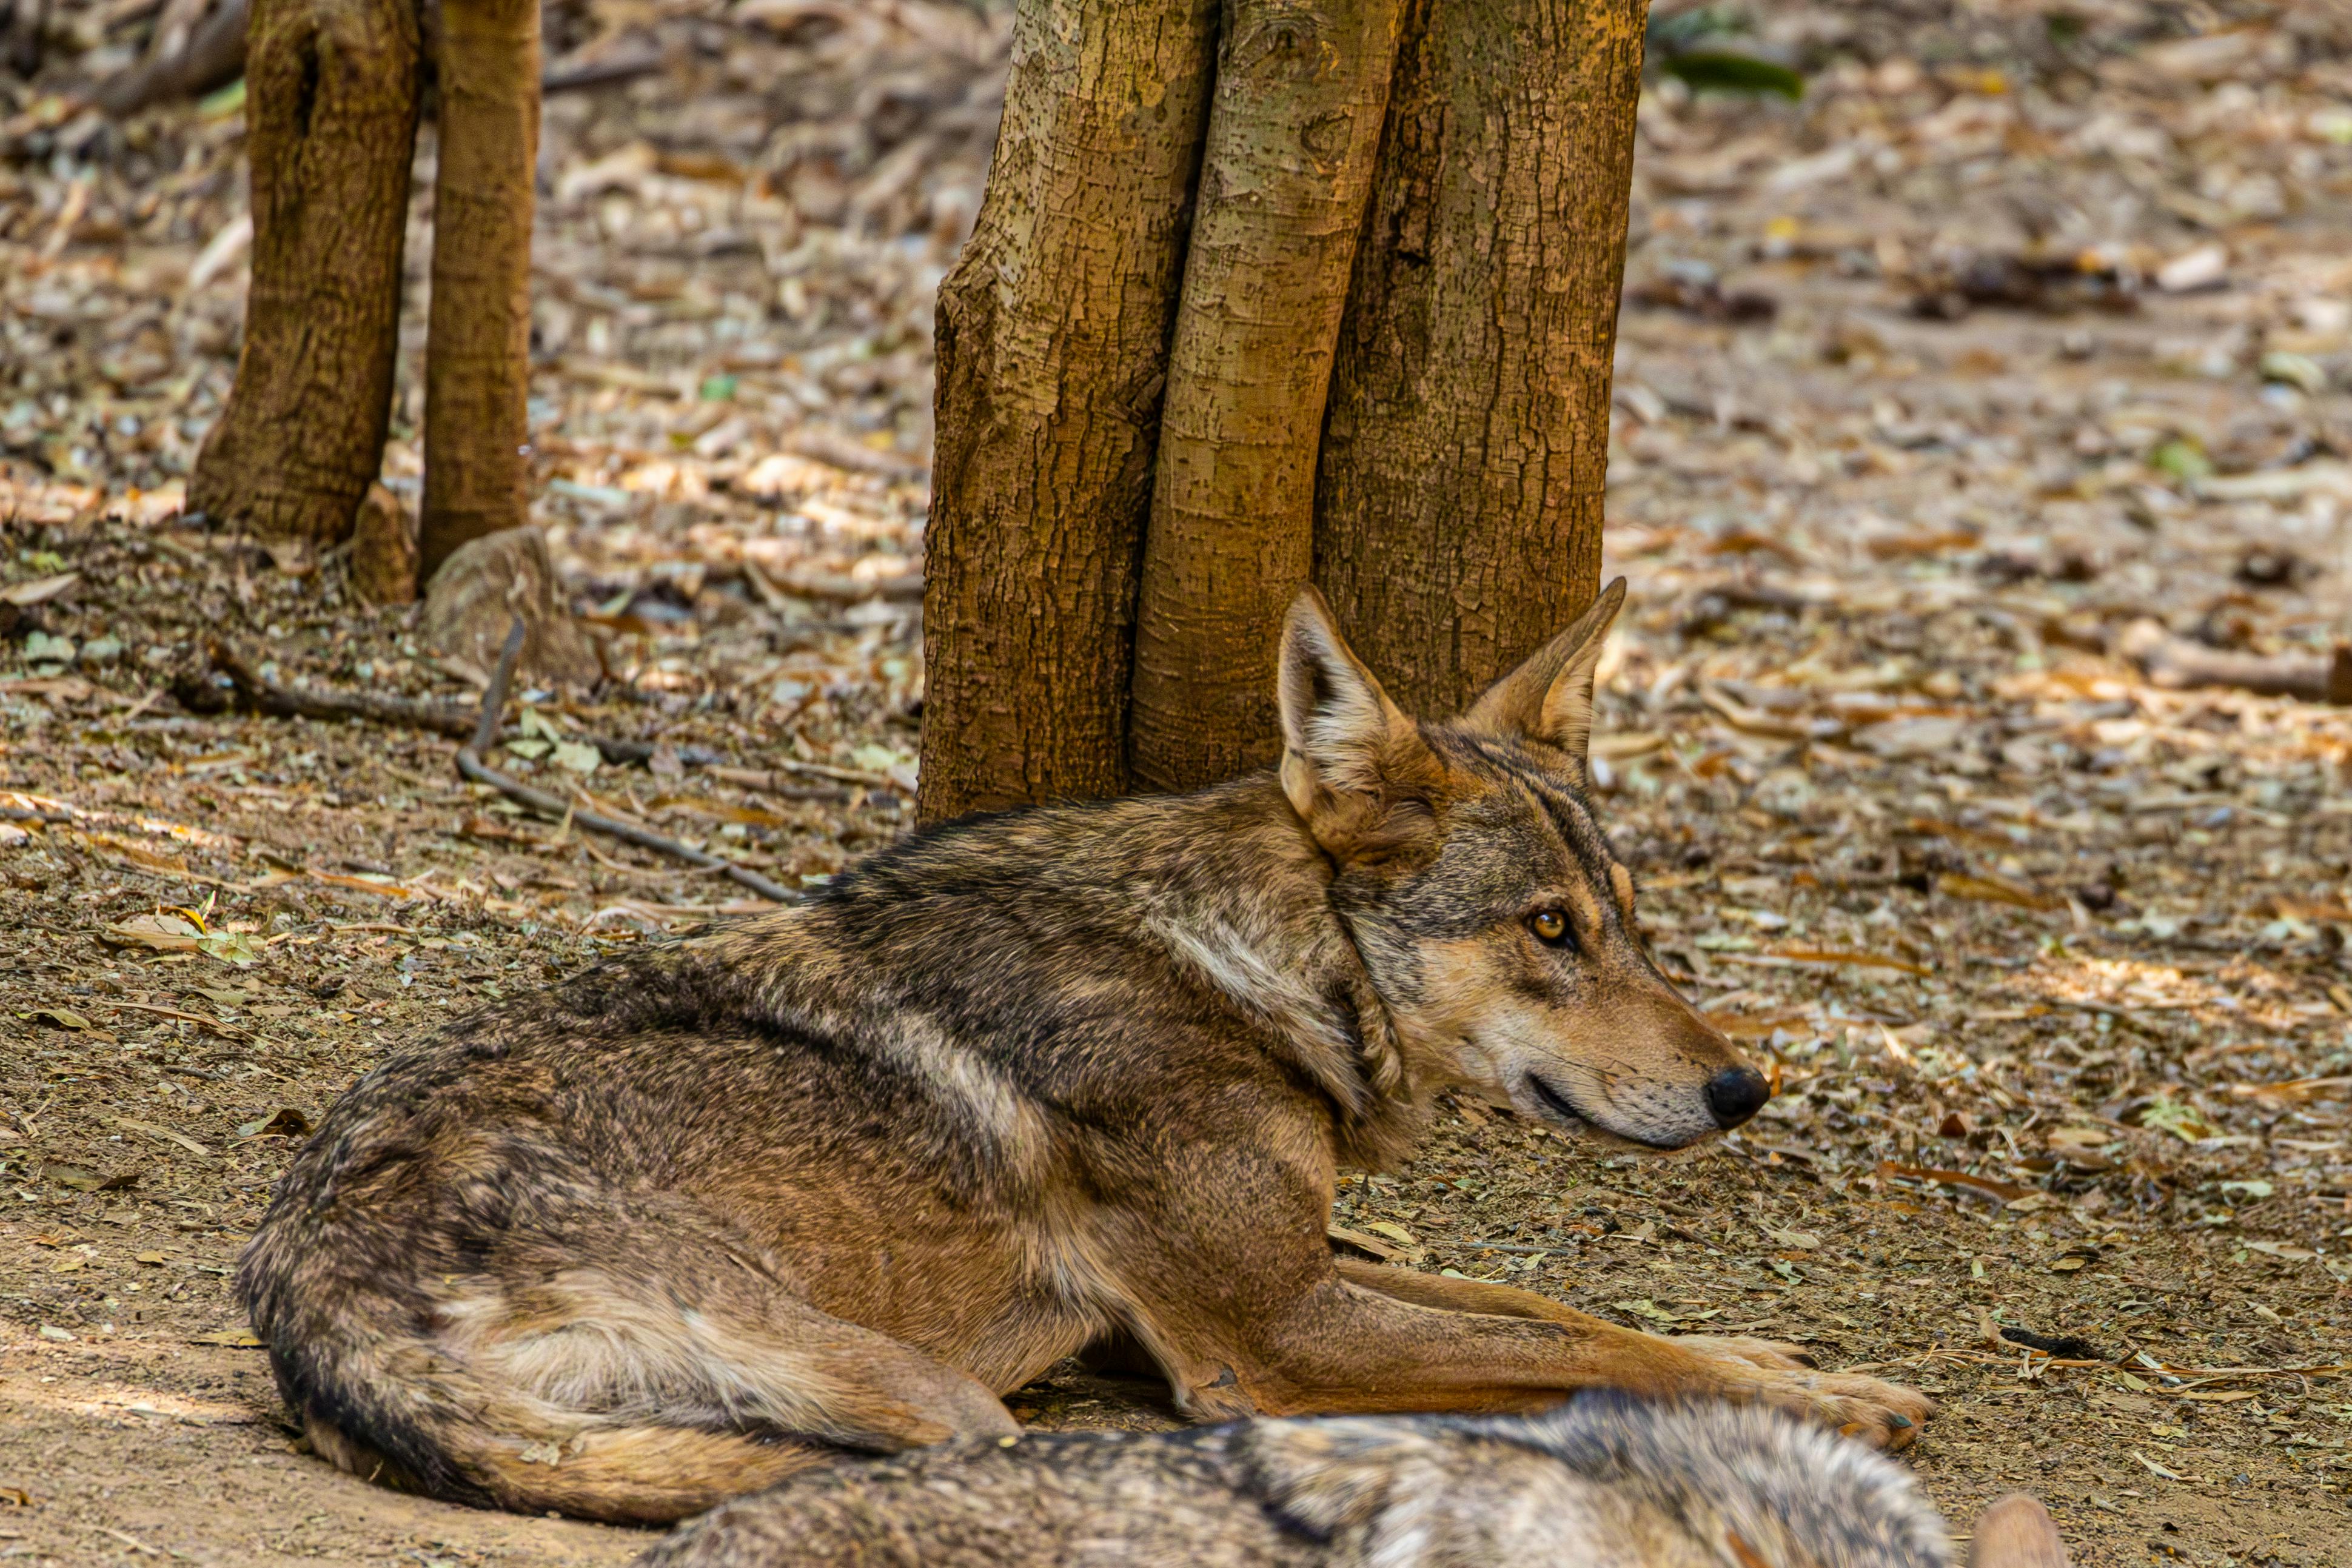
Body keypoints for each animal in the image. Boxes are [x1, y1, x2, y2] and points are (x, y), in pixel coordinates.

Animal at [238, 579, 1932, 1523]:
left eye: (1627, 925)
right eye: (1548, 929)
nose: (1744, 1089)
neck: (1255, 967)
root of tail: (300, 1282)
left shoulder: (1274, 1280)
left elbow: (1547, 1305)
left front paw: (1791, 1365)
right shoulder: (1269, 1331)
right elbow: (1593, 1346)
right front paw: (1829, 1407)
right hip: (936, 1396)